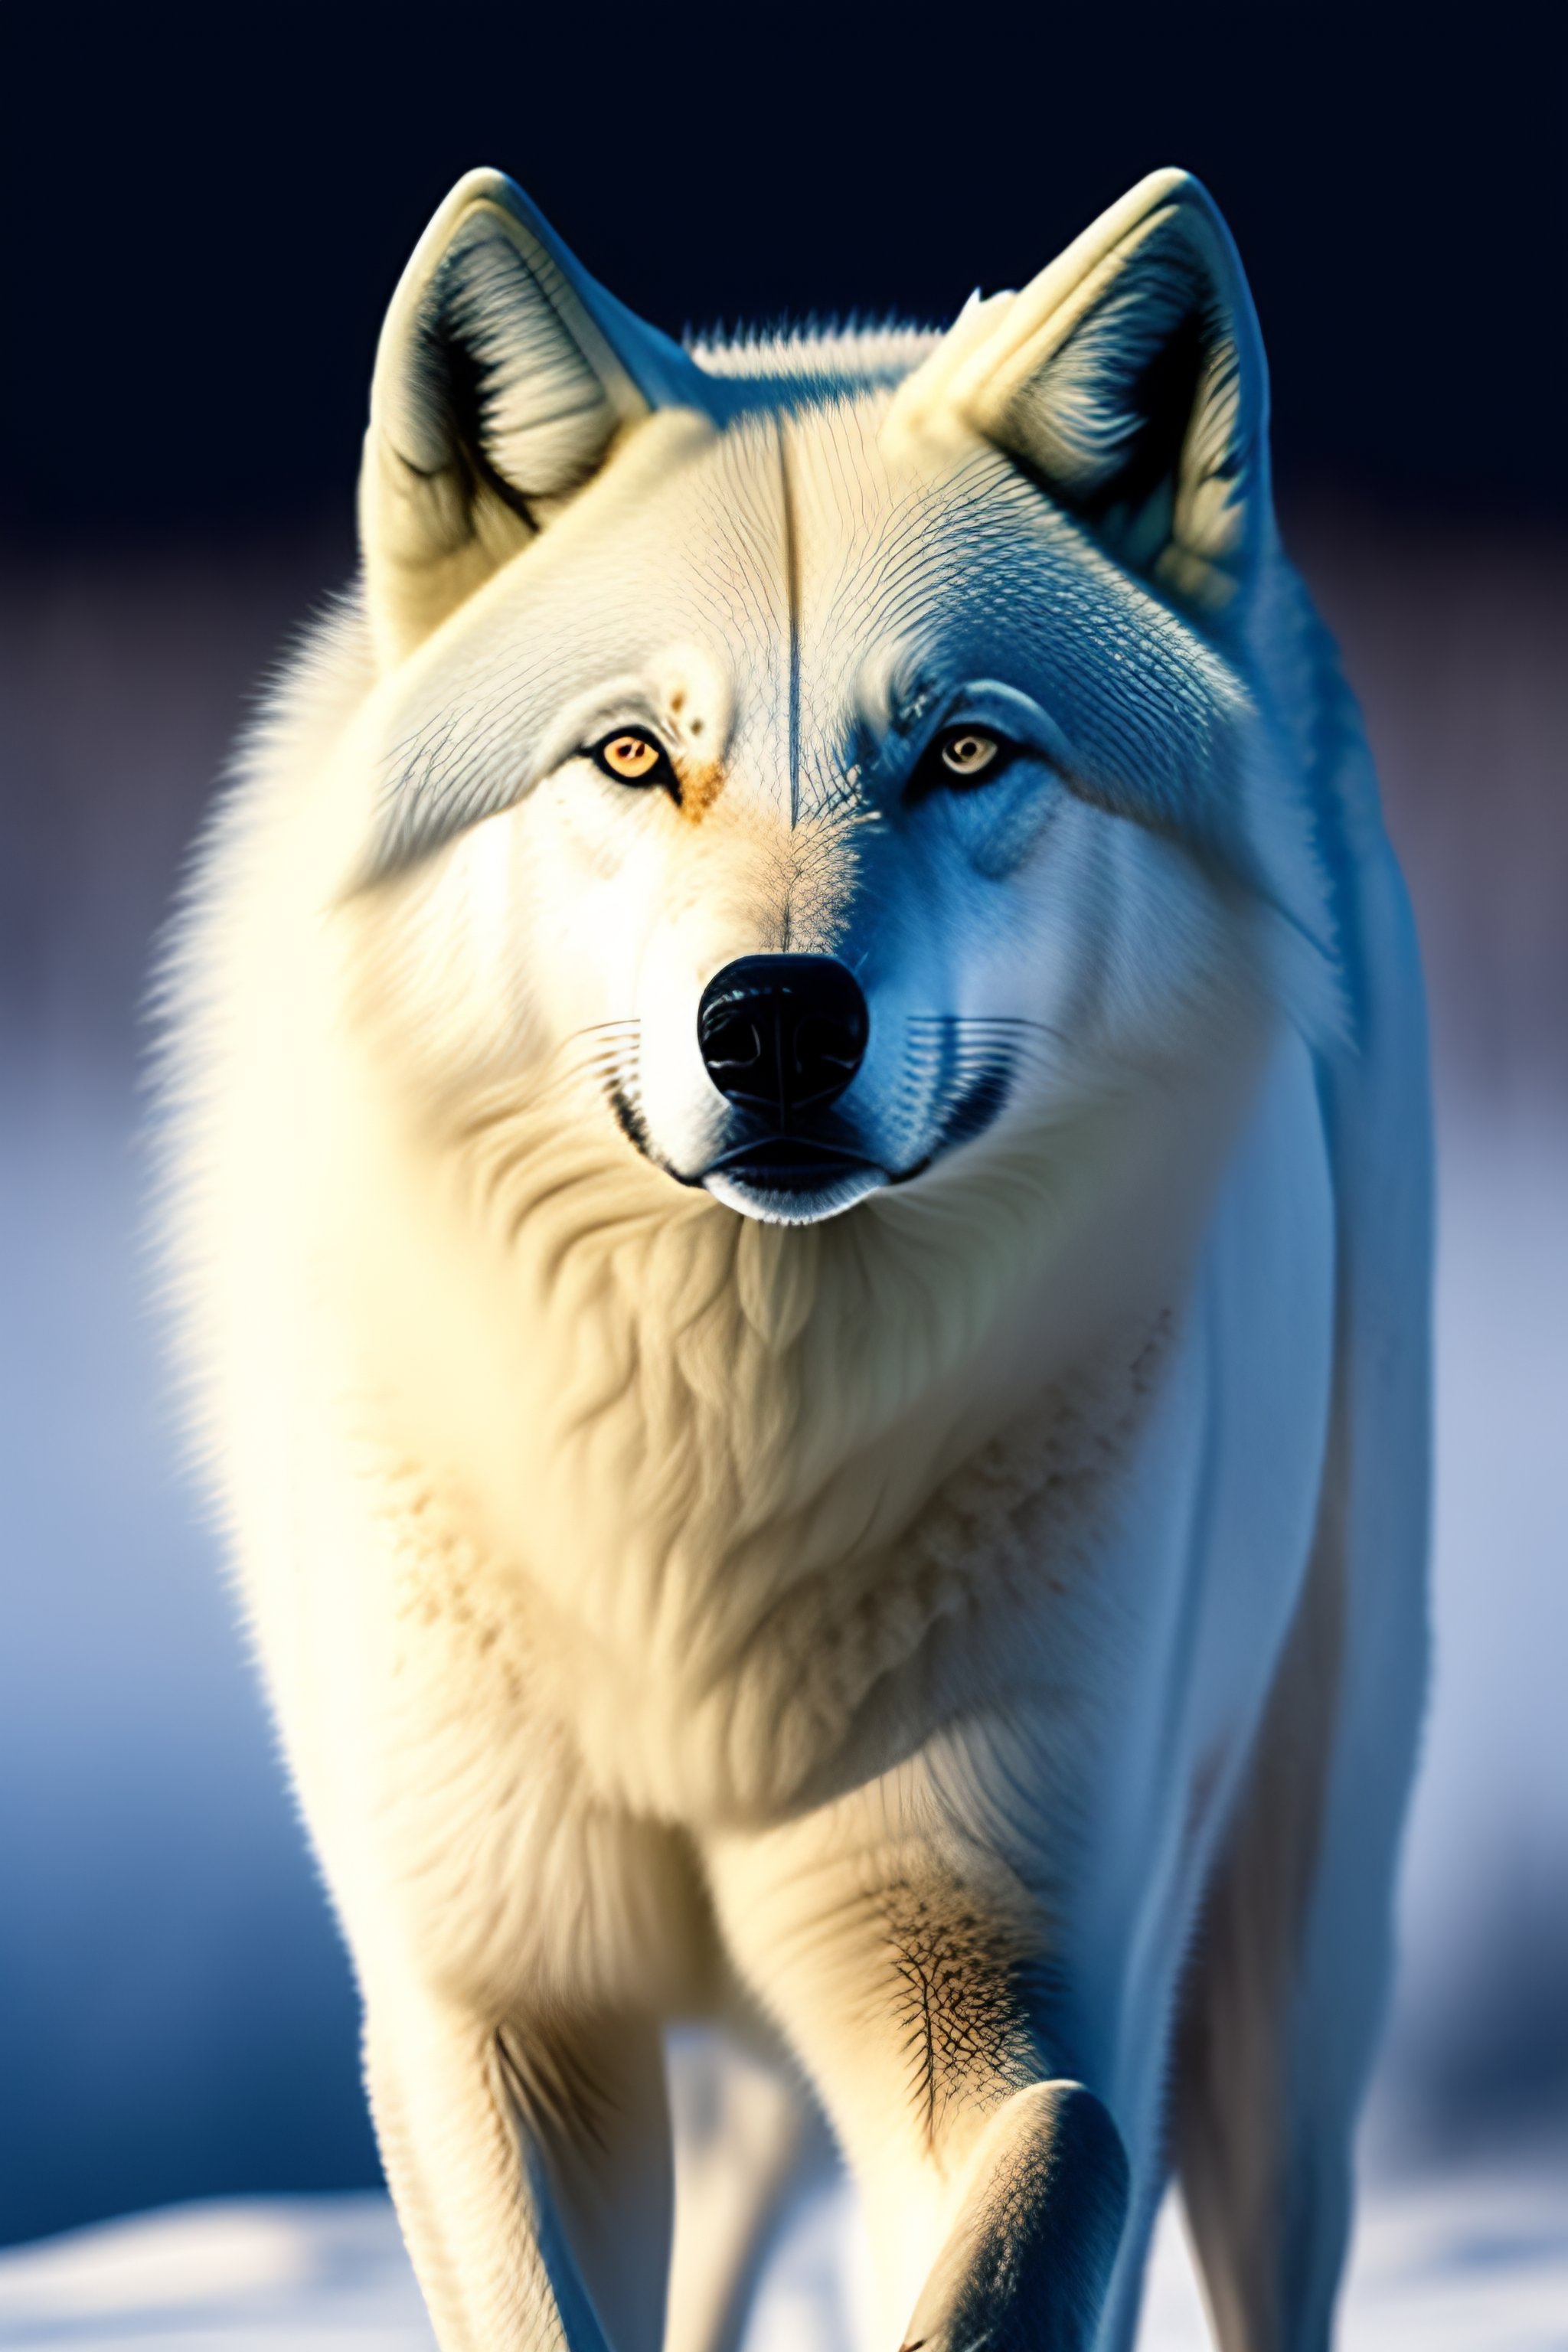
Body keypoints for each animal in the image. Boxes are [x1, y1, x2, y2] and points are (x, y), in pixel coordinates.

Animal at [159, 165, 1431, 2352]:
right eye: (631, 757)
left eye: (965, 754)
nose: (772, 1020)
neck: (715, 1484)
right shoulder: (487, 1999)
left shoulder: (1015, 1968)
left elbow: (1060, 2162)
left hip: (1287, 1942)